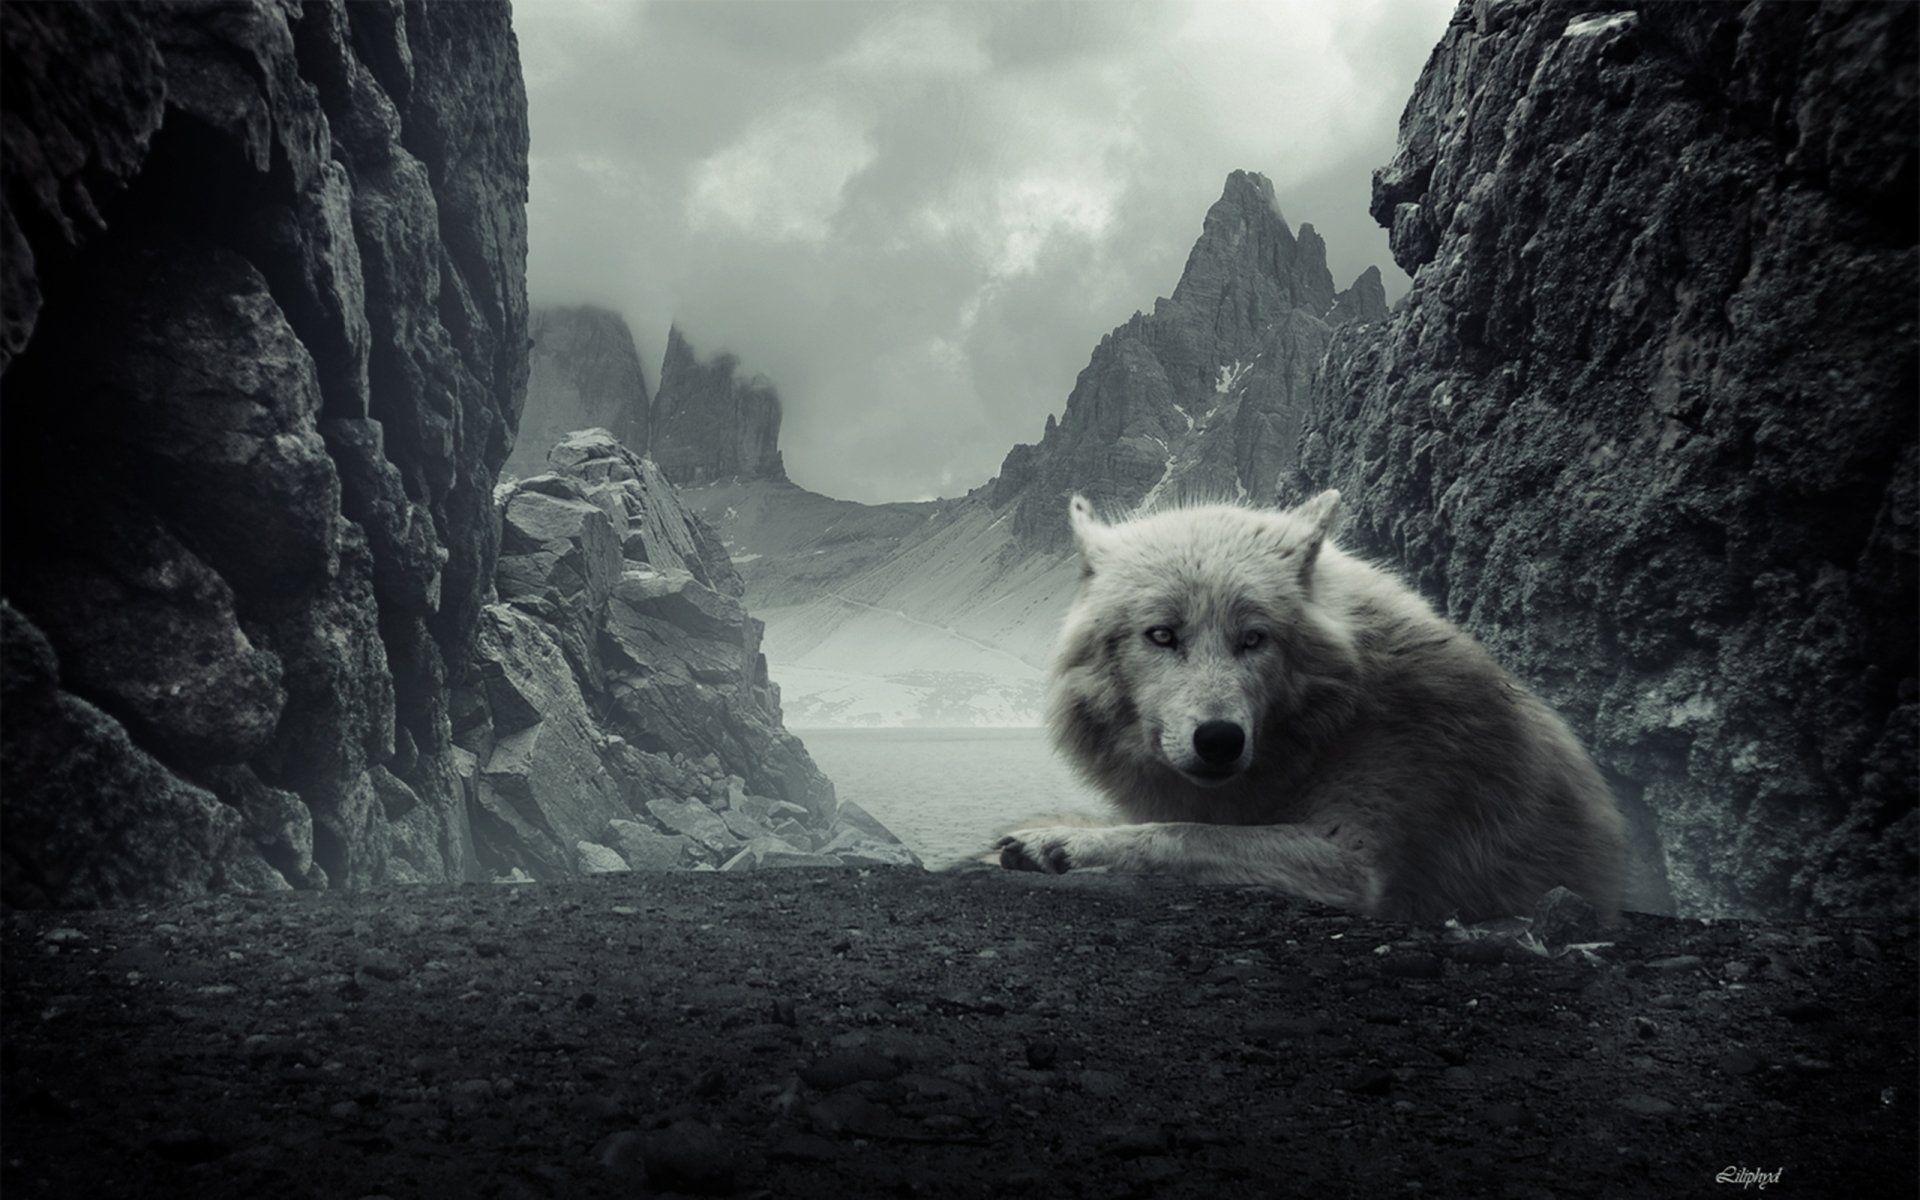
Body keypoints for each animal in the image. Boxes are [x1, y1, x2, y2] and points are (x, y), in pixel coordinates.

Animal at [996, 491, 1626, 922]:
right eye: (1162, 635)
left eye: (1254, 639)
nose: (1220, 740)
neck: (1331, 725)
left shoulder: (1354, 859)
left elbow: (1181, 834)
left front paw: (1059, 842)